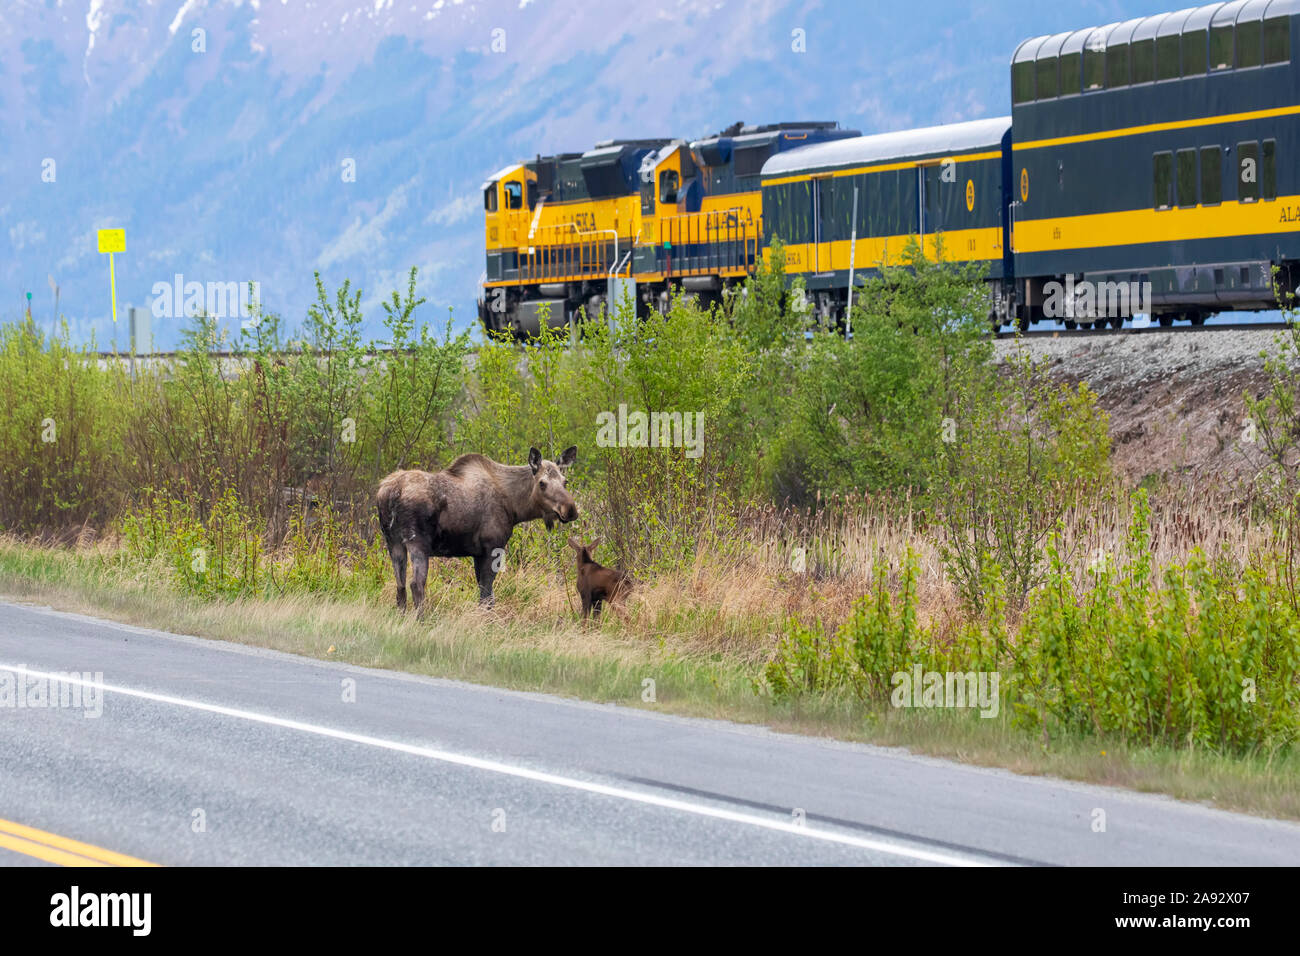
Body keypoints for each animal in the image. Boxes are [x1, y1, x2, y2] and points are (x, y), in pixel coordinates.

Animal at [377, 446, 578, 612]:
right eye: (542, 483)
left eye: (565, 481)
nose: (570, 510)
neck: (515, 507)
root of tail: (390, 494)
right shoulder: (493, 547)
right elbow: (487, 595)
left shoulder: (477, 553)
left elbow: (484, 593)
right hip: (417, 543)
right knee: (416, 584)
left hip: (393, 543)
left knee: (400, 585)